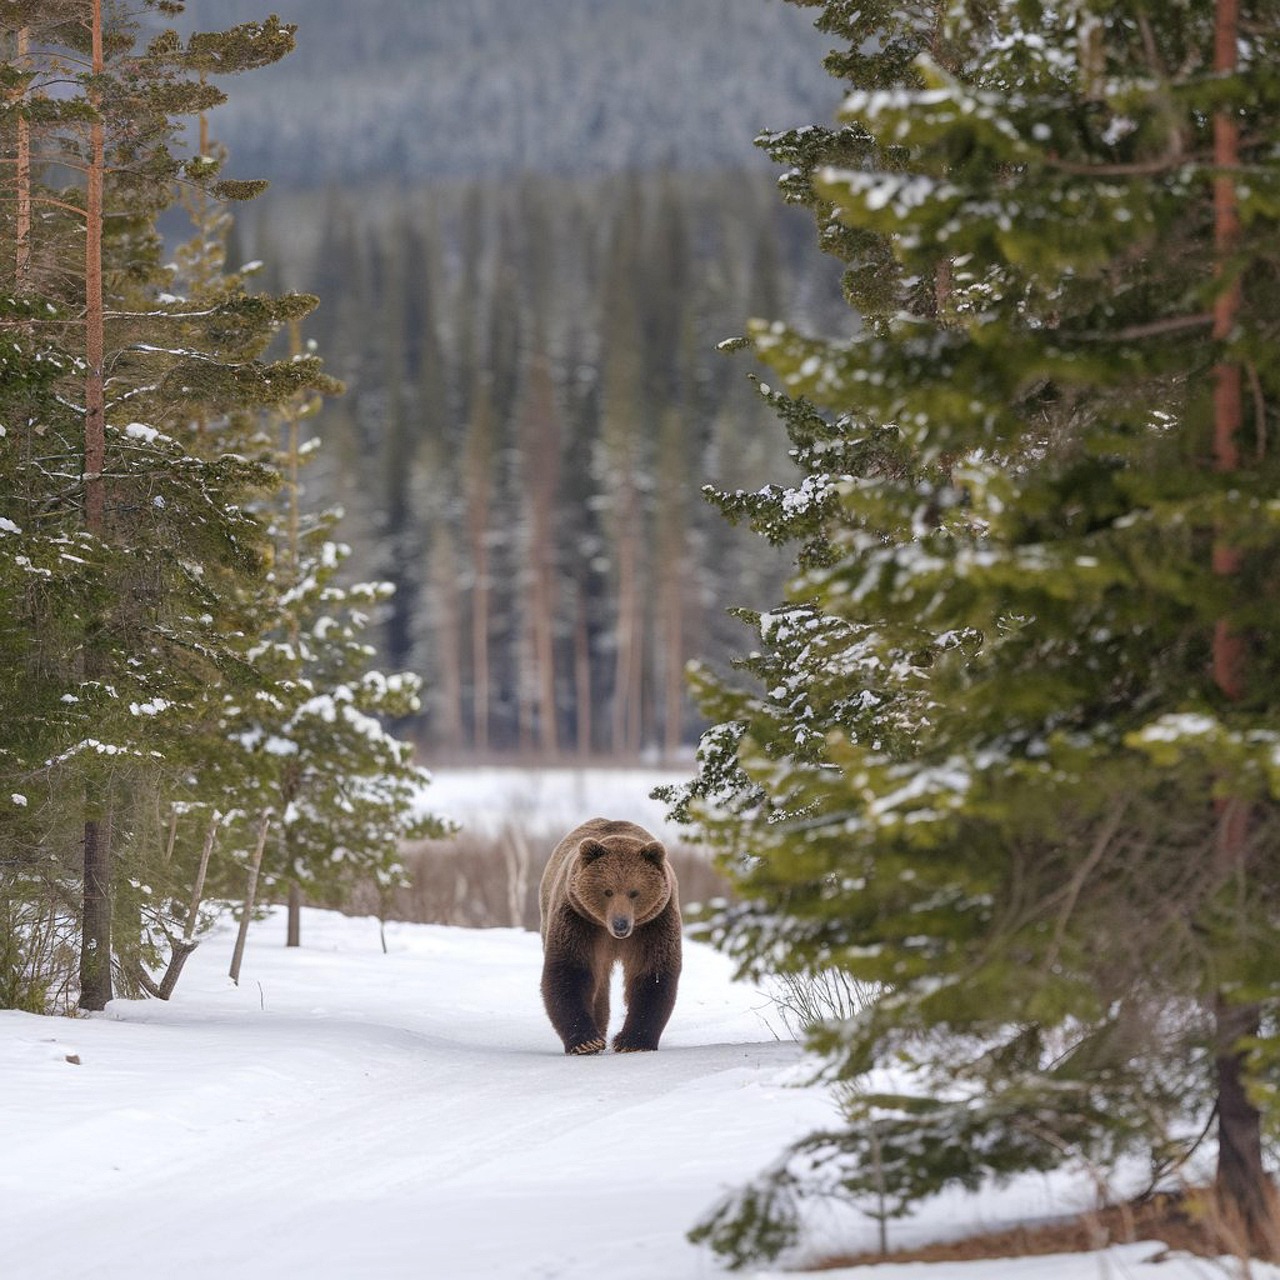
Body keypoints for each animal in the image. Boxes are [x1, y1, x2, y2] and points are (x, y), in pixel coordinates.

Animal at [538, 817, 682, 1055]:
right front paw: (586, 1041)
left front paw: (633, 1041)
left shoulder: (654, 924)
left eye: (634, 892)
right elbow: (570, 970)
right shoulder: (579, 920)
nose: (621, 924)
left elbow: (652, 972)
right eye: (607, 891)